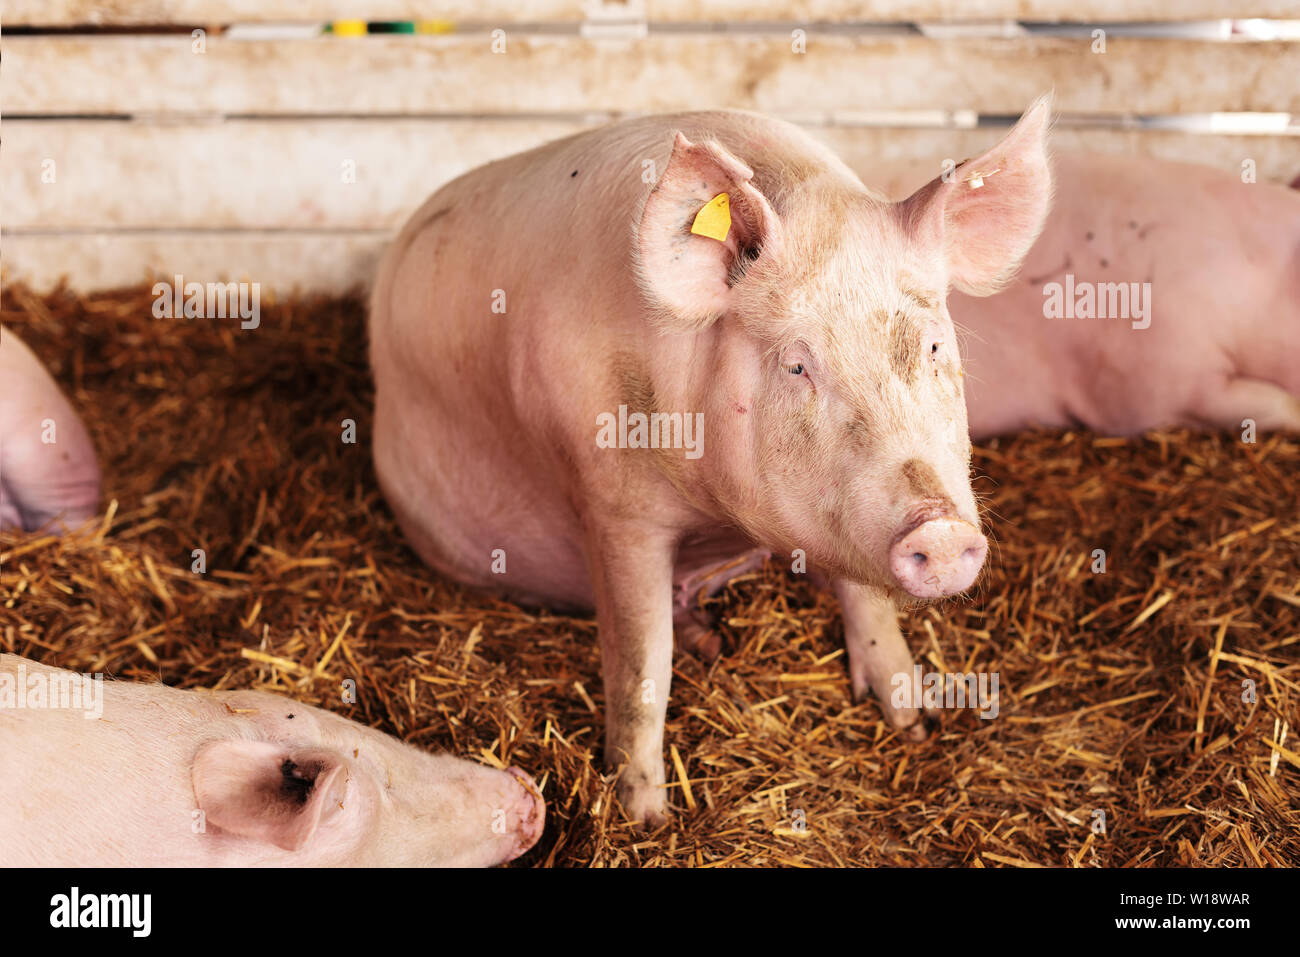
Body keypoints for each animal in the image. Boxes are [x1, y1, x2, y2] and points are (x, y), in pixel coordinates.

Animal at [369, 98, 1054, 823]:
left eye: (932, 345)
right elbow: (641, 662)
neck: (714, 515)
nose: (941, 528)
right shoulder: (614, 509)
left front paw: (916, 723)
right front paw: (646, 817)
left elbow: (868, 604)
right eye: (797, 364)